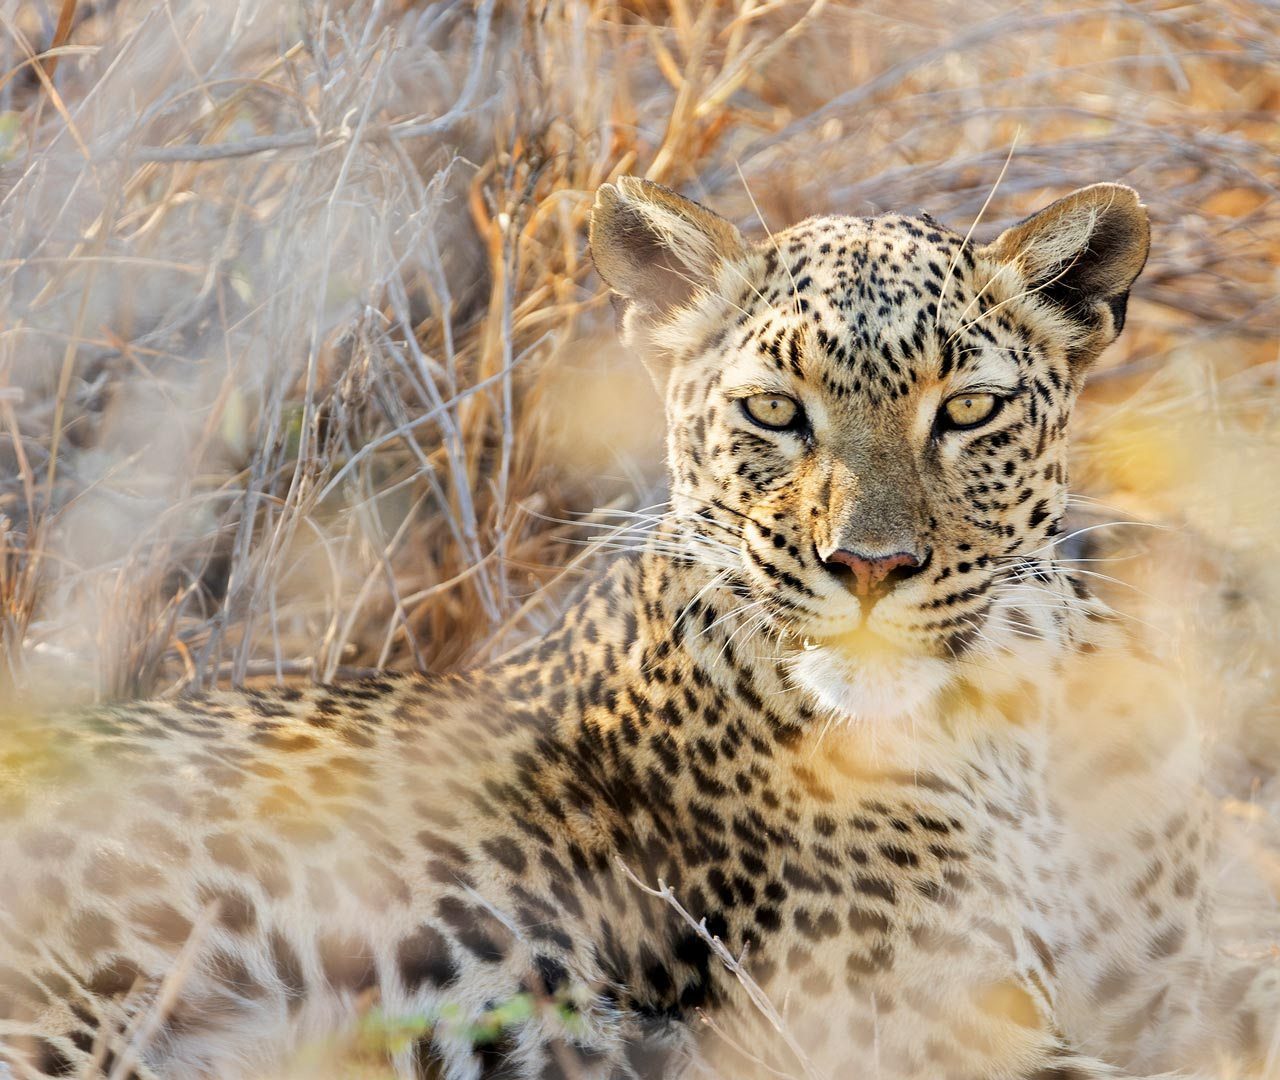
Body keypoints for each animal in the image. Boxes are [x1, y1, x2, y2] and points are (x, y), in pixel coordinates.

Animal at [1, 175, 1276, 1080]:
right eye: (772, 410)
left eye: (965, 410)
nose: (869, 566)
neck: (1006, 722)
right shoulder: (927, 1034)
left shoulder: (1169, 988)